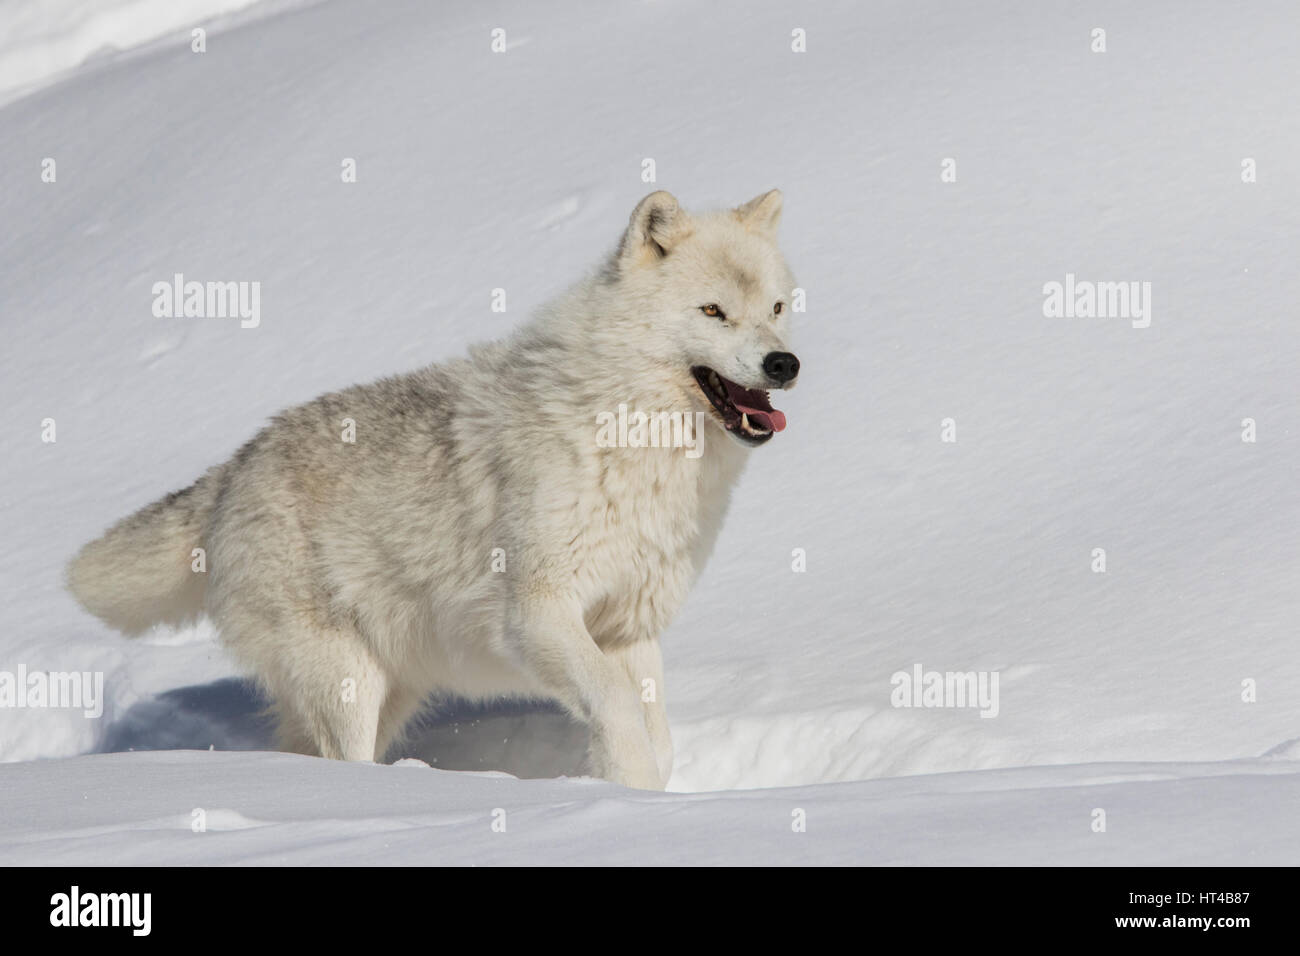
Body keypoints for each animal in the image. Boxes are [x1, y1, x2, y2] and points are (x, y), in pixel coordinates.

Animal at [67, 189, 801, 789]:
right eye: (713, 311)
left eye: (775, 308)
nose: (784, 363)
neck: (628, 438)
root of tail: (233, 467)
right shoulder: (537, 615)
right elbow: (619, 712)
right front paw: (623, 793)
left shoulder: (628, 628)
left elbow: (663, 739)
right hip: (349, 682)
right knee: (343, 762)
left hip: (390, 688)